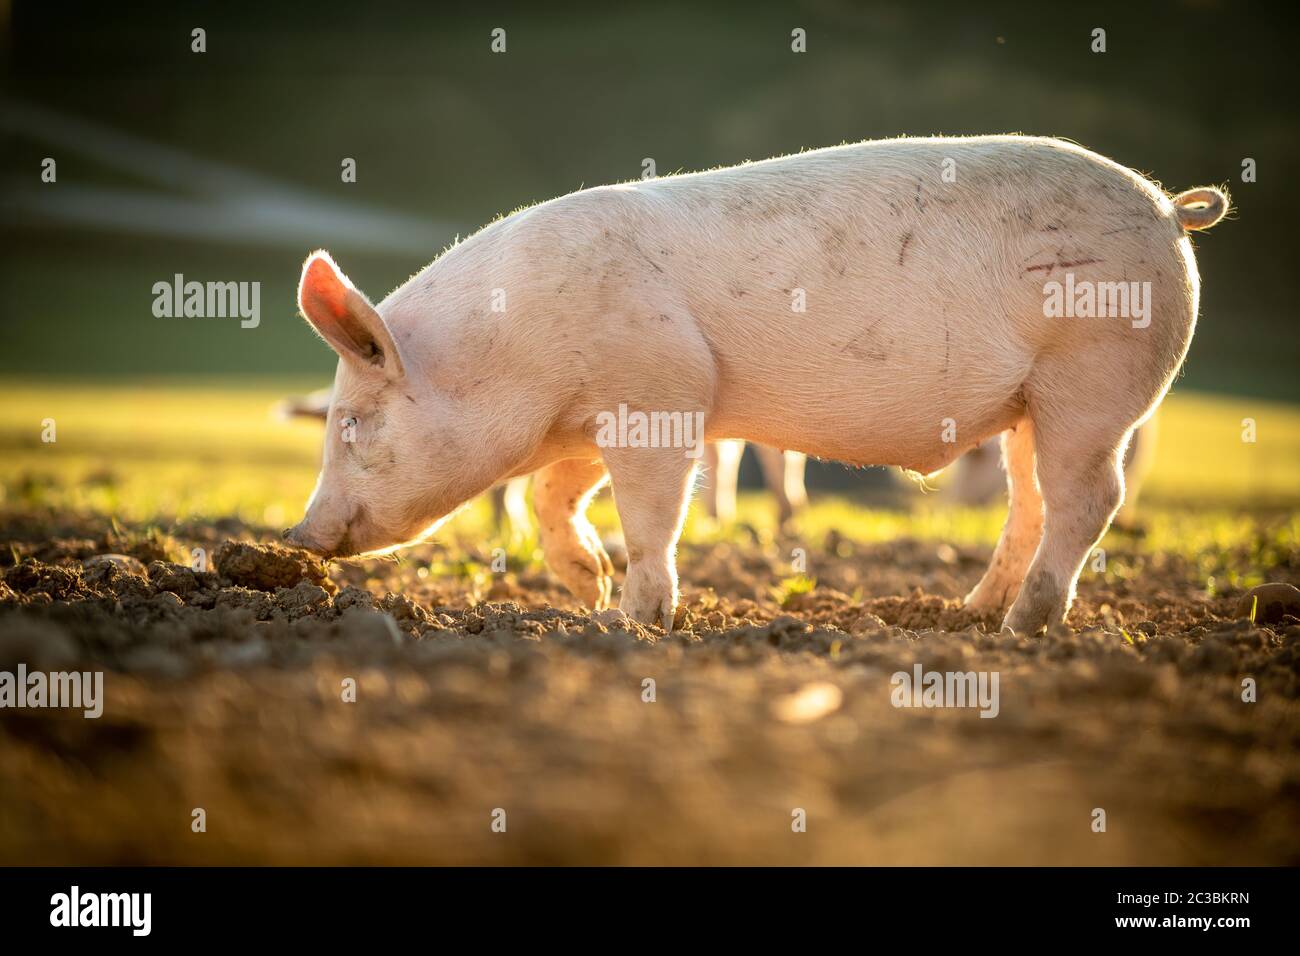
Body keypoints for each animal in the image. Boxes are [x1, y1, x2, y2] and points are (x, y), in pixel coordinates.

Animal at [283, 134, 1228, 634]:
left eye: (352, 424)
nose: (299, 534)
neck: (514, 352)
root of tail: (1169, 209)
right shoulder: (592, 417)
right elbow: (556, 496)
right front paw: (589, 589)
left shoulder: (662, 389)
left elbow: (652, 516)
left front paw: (634, 620)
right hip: (1032, 405)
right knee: (1027, 502)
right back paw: (968, 612)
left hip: (1096, 379)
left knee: (1089, 498)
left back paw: (1021, 626)